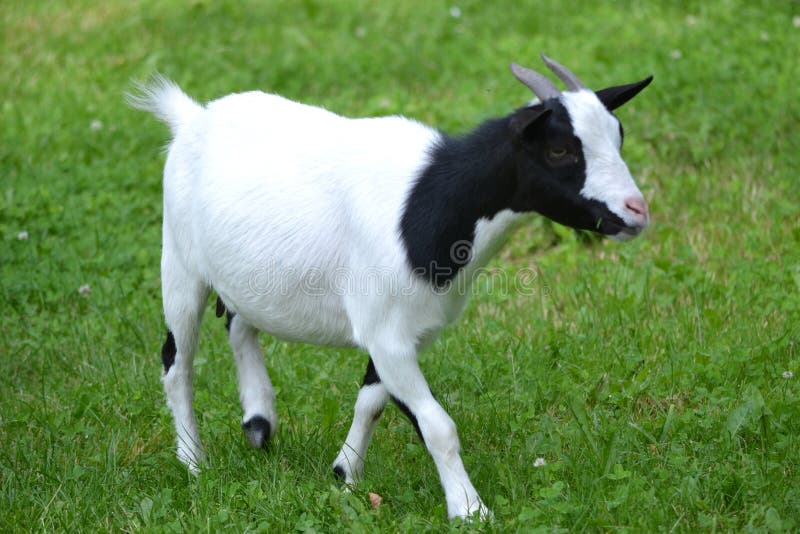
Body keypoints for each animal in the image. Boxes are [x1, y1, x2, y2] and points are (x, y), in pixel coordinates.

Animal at [131, 54, 652, 520]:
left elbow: (372, 401)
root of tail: (191, 116)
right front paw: (470, 510)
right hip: (179, 261)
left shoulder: (403, 330)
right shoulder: (387, 331)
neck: (429, 202)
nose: (637, 211)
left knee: (239, 322)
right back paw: (193, 462)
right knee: (177, 362)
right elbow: (437, 425)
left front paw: (345, 475)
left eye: (618, 134)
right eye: (560, 150)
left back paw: (259, 421)